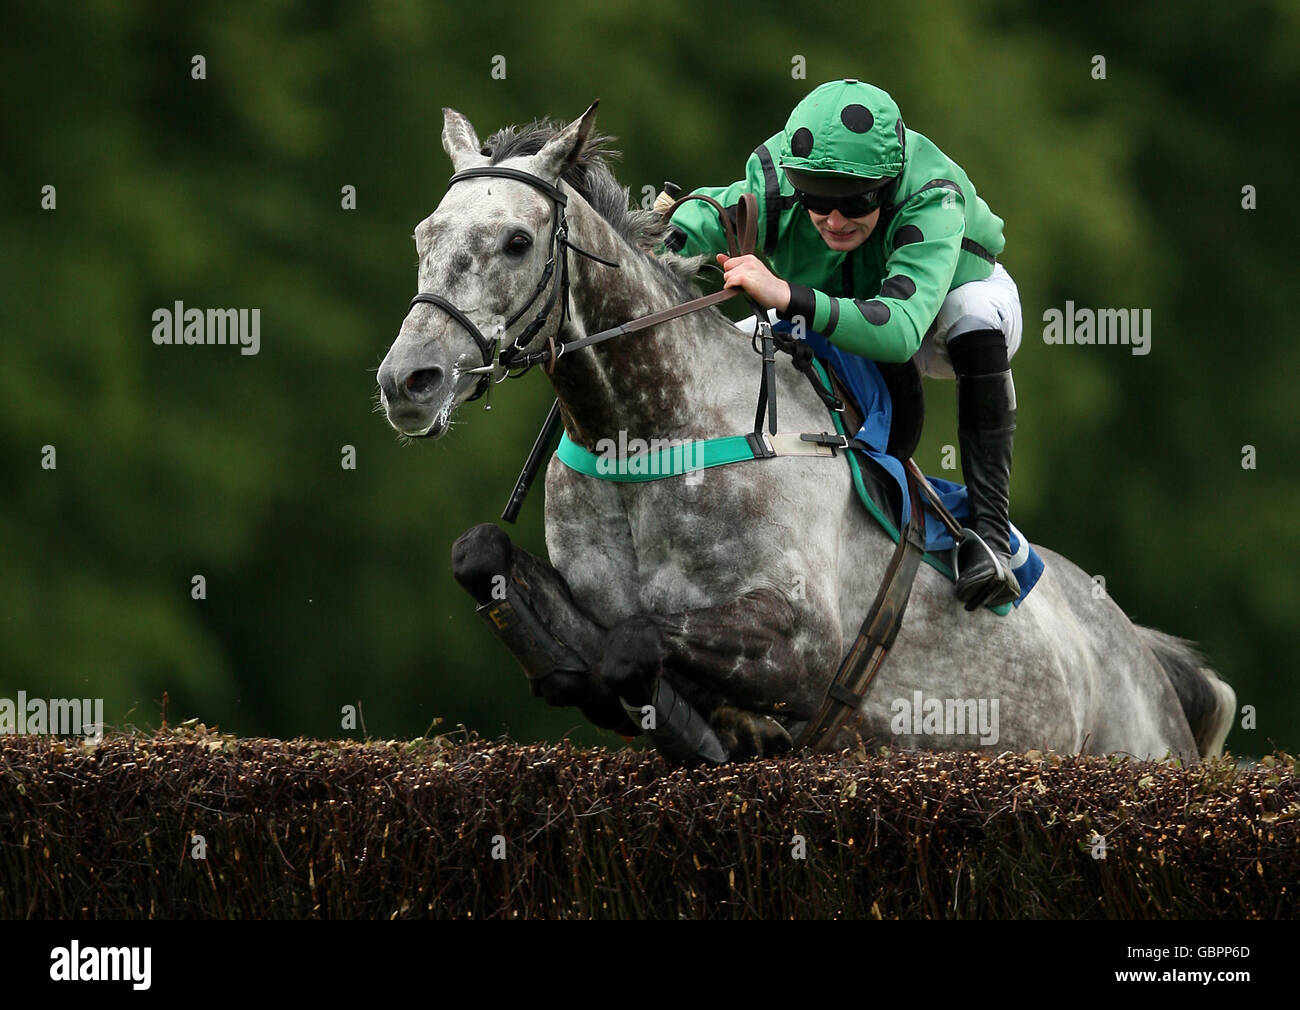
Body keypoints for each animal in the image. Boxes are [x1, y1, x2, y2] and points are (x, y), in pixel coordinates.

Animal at [377, 102, 1235, 765]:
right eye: (423, 235)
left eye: (517, 242)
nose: (408, 381)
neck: (650, 435)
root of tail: (1144, 658)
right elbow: (488, 559)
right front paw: (590, 682)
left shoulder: (802, 641)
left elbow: (632, 646)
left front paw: (710, 727)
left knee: (973, 324)